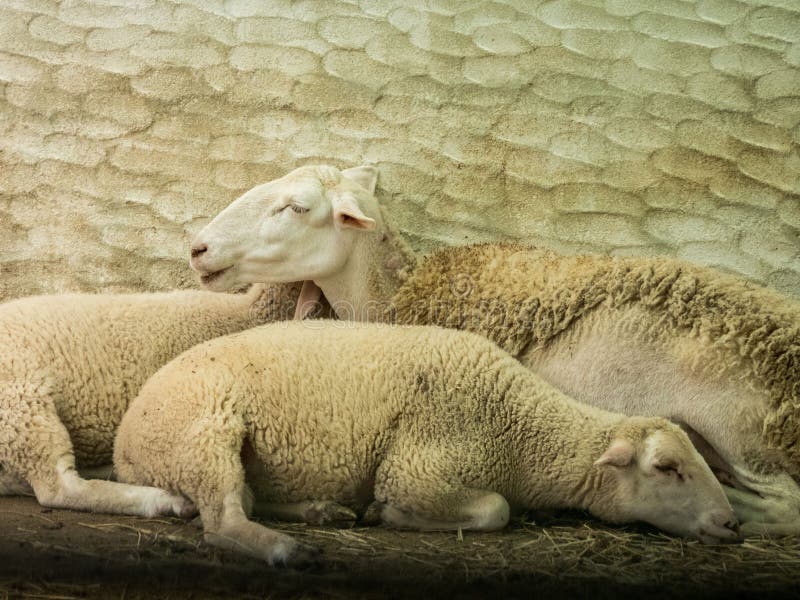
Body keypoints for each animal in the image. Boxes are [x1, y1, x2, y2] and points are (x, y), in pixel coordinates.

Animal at [113, 320, 739, 565]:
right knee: (222, 519)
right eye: (667, 468)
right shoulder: (419, 467)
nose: (732, 523)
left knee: (242, 497)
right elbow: (495, 509)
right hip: (204, 431)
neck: (520, 434)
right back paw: (285, 547)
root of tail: (125, 439)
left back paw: (321, 511)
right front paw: (391, 515)